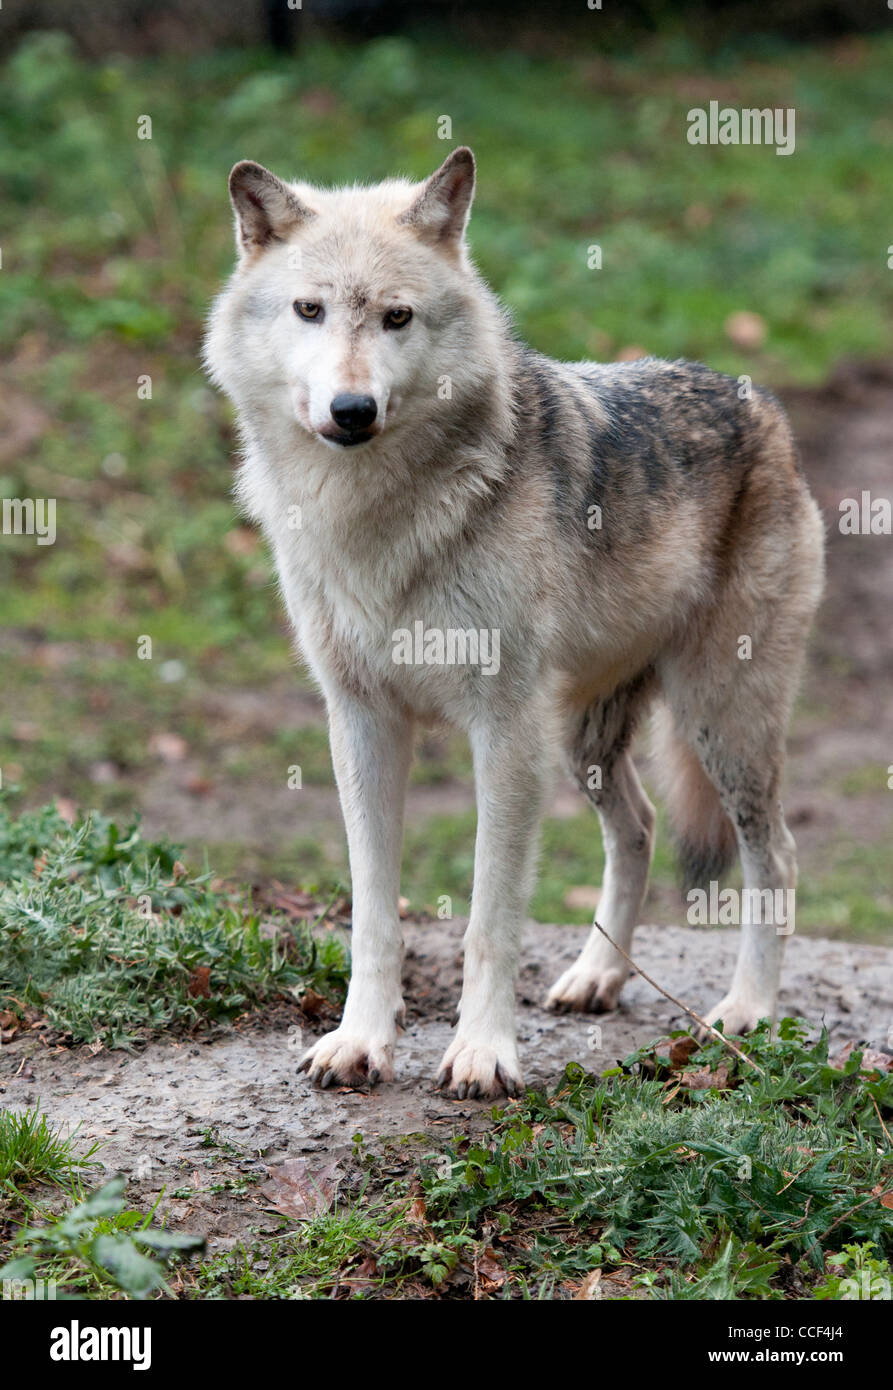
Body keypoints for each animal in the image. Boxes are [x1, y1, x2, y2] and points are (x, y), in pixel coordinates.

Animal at [205, 147, 825, 1098]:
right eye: (309, 310)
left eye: (396, 317)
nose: (352, 411)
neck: (374, 520)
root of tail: (757, 400)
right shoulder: (361, 722)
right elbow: (373, 915)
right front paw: (358, 1043)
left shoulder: (501, 733)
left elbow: (489, 921)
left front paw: (482, 1055)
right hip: (581, 738)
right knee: (639, 828)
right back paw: (596, 978)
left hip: (718, 722)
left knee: (776, 855)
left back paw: (746, 1012)